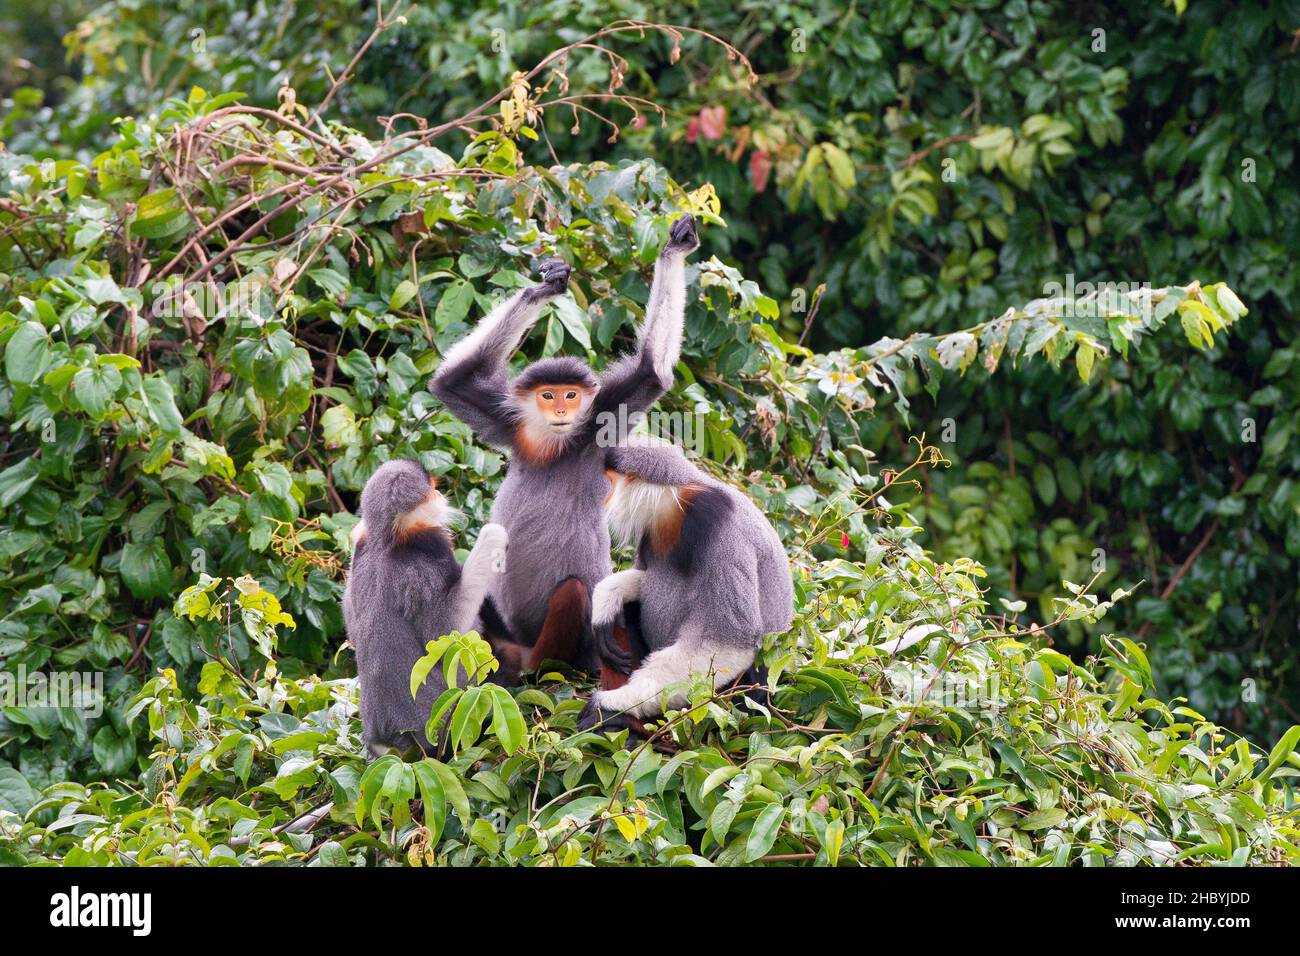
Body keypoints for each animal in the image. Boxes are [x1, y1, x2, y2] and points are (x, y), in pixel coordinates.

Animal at [343, 458, 509, 757]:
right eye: (431, 490)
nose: (440, 495)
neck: (384, 538)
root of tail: (384, 739)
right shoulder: (427, 548)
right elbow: (444, 632)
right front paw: (493, 535)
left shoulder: (358, 543)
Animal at [428, 215, 700, 676]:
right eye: (549, 394)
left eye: (571, 395)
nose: (560, 410)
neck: (555, 445)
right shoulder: (512, 423)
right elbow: (451, 381)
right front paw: (545, 286)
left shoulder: (599, 423)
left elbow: (651, 373)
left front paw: (675, 248)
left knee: (572, 592)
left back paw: (535, 668)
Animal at [577, 439, 794, 730]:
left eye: (609, 482)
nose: (603, 499)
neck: (676, 506)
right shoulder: (652, 529)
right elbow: (642, 579)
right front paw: (608, 599)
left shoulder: (715, 523)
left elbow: (728, 643)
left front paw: (613, 703)